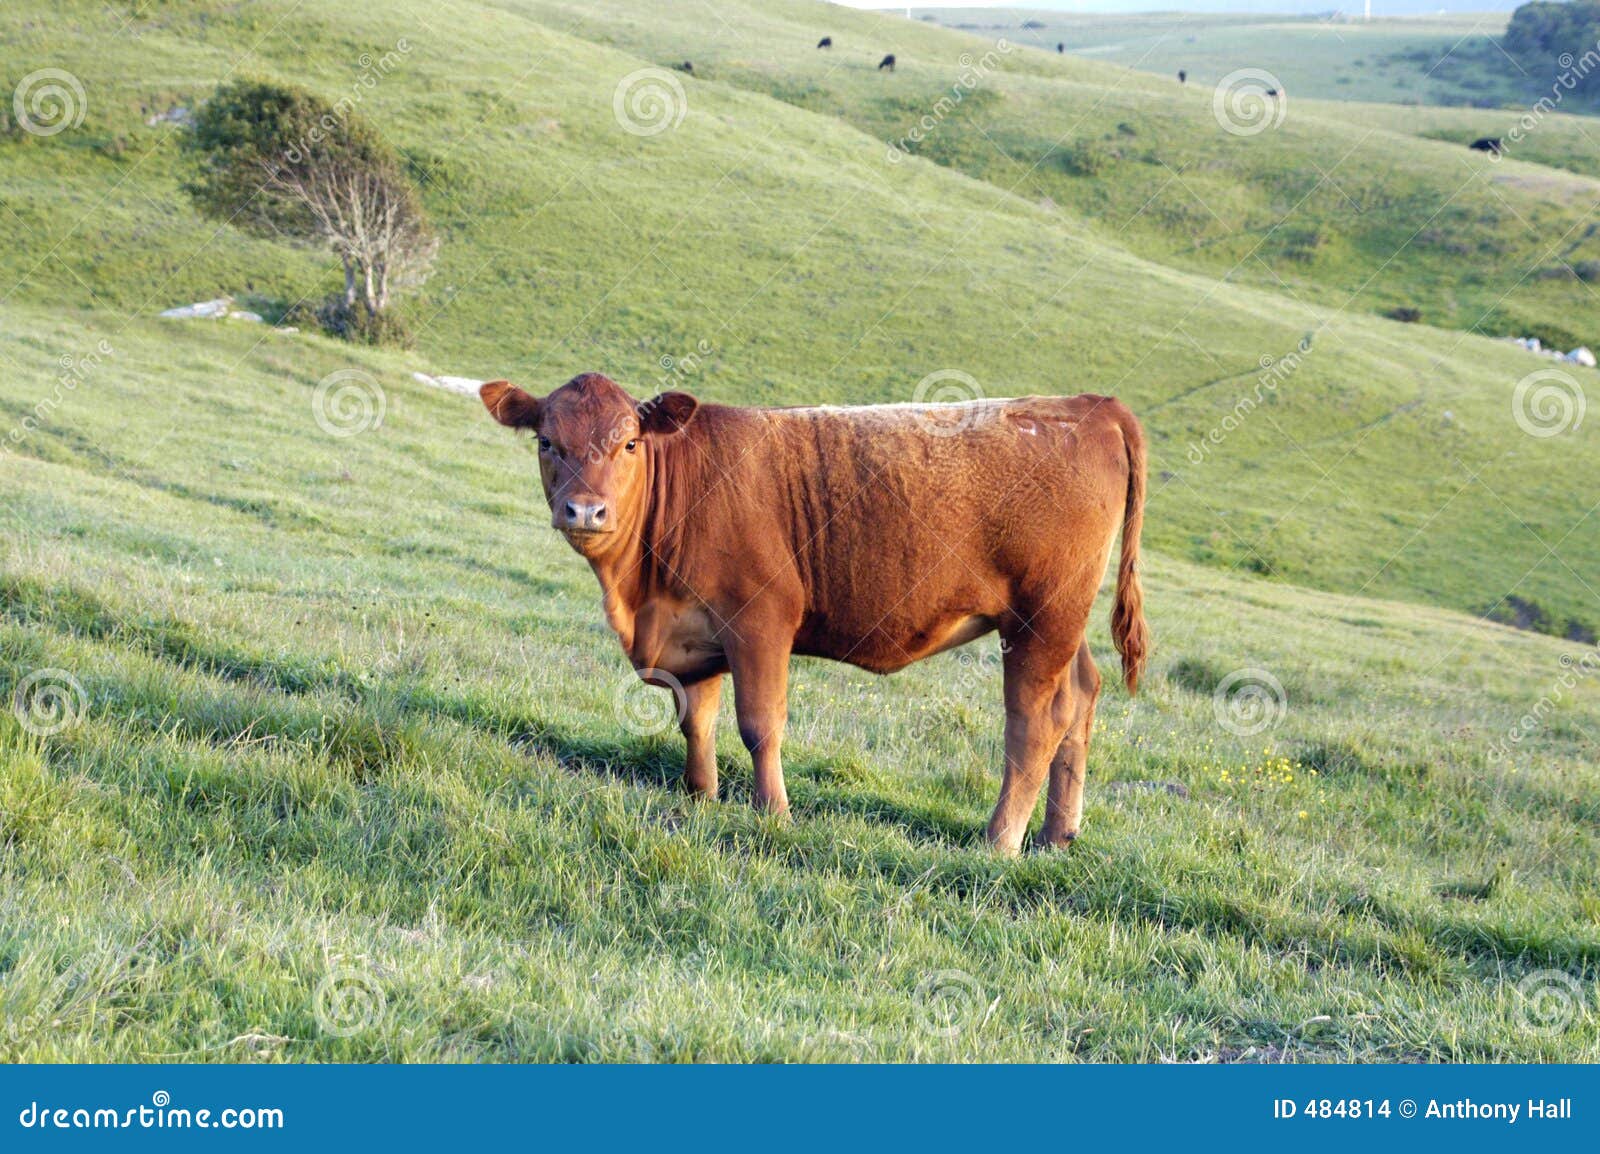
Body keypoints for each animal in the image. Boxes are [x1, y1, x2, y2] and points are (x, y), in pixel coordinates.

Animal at [479, 373, 1149, 854]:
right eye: (547, 442)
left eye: (629, 443)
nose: (584, 510)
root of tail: (1091, 403)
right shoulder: (692, 638)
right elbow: (697, 721)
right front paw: (702, 798)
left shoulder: (760, 620)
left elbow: (759, 723)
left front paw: (772, 813)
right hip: (1059, 626)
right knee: (1081, 698)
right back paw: (1057, 836)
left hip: (1042, 619)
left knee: (1036, 723)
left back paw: (999, 841)